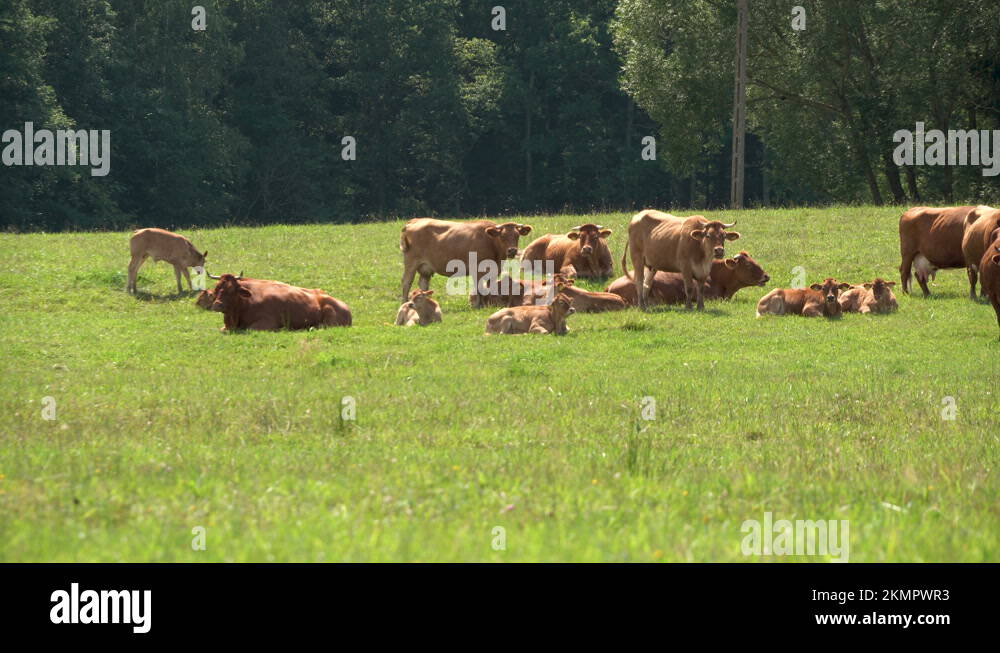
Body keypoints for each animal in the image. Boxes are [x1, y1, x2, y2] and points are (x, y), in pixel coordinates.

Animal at [400, 218, 532, 308]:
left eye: (517, 235)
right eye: (502, 236)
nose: (512, 250)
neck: (490, 241)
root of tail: (415, 220)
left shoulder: (494, 270)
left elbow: (489, 286)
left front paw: (488, 304)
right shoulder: (477, 269)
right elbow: (479, 287)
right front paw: (479, 305)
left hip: (425, 268)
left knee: (423, 284)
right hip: (411, 262)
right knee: (406, 282)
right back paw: (404, 302)